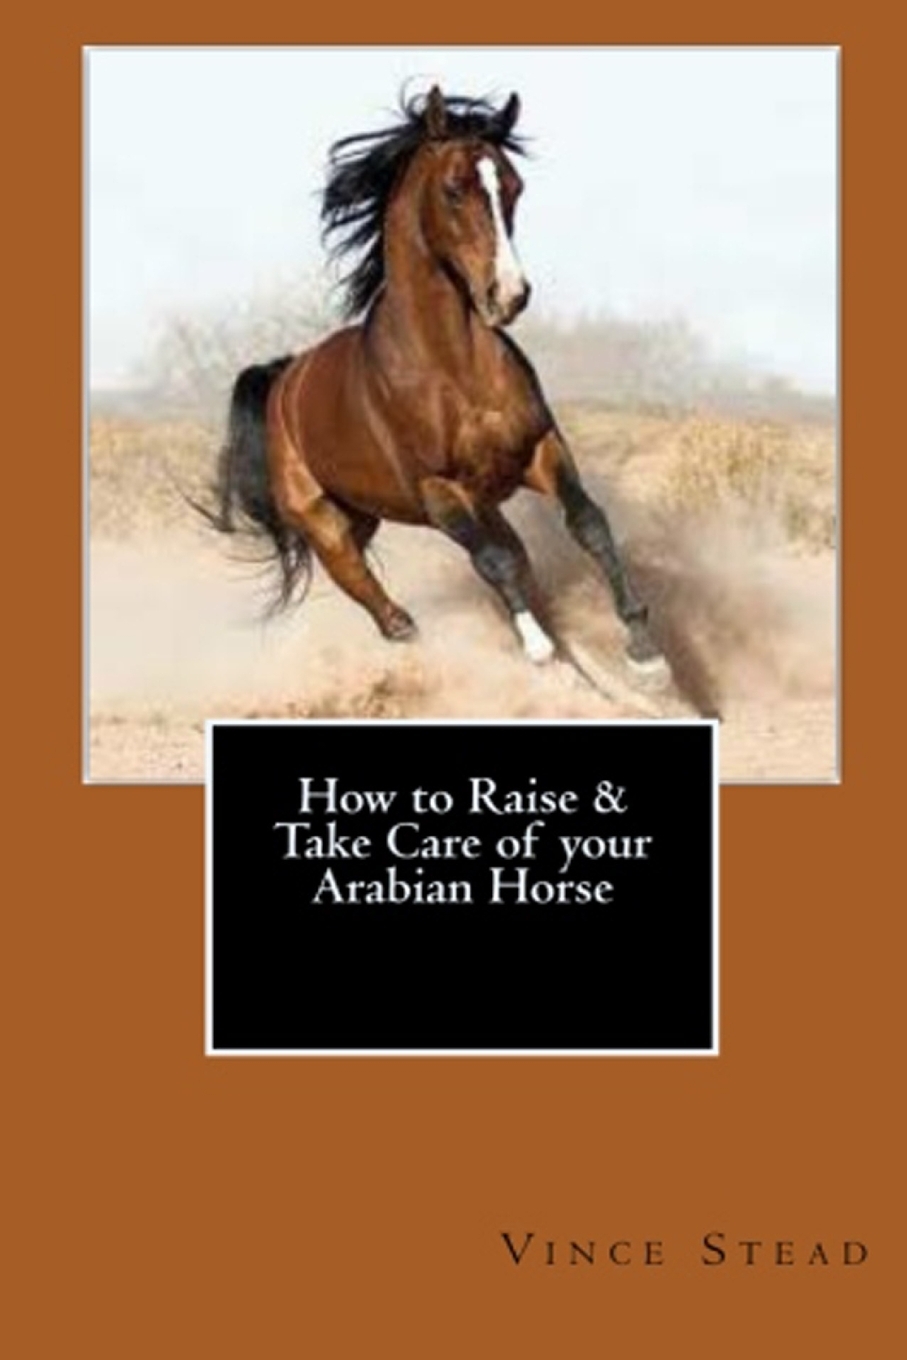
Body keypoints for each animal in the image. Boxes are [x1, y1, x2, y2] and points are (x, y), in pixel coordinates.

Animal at [202, 86, 665, 673]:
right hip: (325, 521)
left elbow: (588, 523)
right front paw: (538, 646)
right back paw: (409, 632)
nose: (509, 295)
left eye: (513, 187)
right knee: (373, 594)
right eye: (453, 190)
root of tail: (285, 377)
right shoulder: (438, 490)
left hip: (404, 510)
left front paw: (645, 650)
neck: (453, 368)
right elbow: (493, 561)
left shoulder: (539, 449)